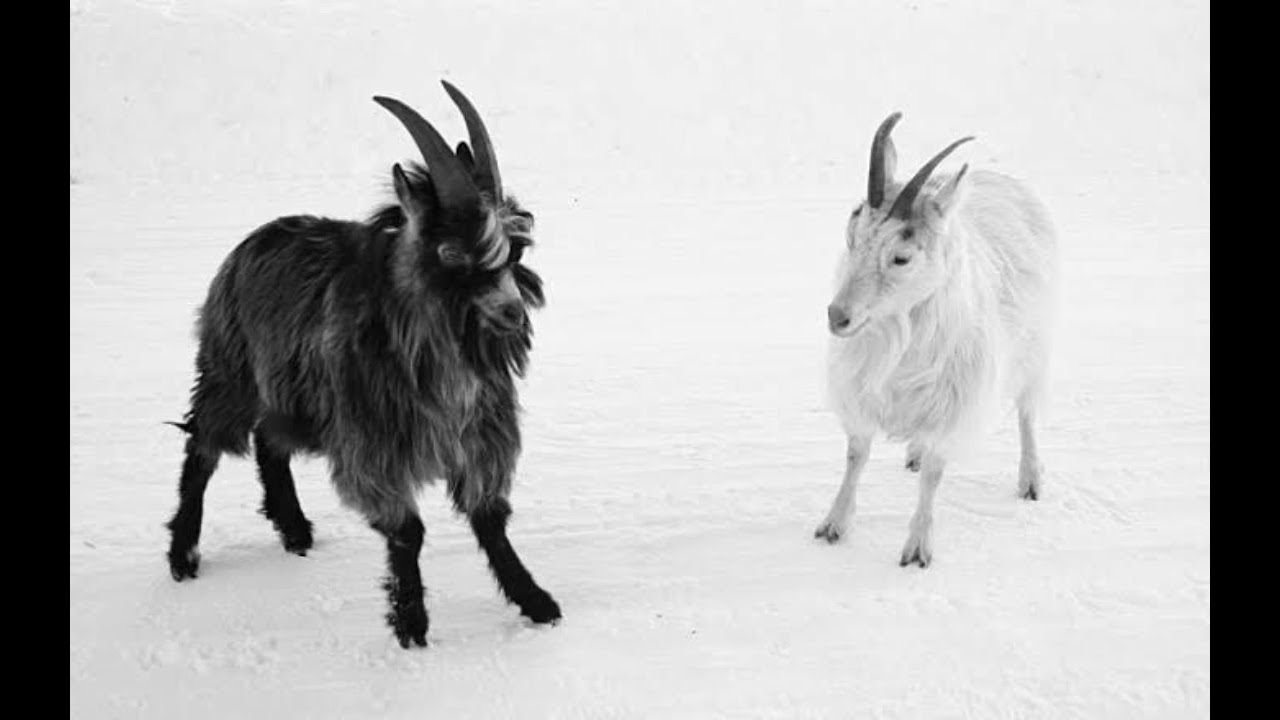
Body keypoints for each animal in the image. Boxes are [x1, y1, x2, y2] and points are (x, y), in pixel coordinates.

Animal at [164, 81, 561, 648]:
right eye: (451, 252)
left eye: (515, 250)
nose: (511, 313)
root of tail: (246, 244)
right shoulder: (372, 442)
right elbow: (408, 531)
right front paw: (412, 625)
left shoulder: (480, 431)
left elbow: (489, 518)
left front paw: (535, 600)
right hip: (229, 371)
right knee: (203, 447)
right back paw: (183, 556)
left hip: (291, 395)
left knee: (269, 440)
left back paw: (294, 530)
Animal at [815, 112, 1058, 567]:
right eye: (851, 236)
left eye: (901, 257)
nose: (837, 316)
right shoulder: (859, 393)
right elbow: (857, 454)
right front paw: (832, 526)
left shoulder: (954, 408)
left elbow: (934, 473)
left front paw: (917, 549)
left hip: (1036, 351)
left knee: (1027, 413)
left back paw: (1030, 481)